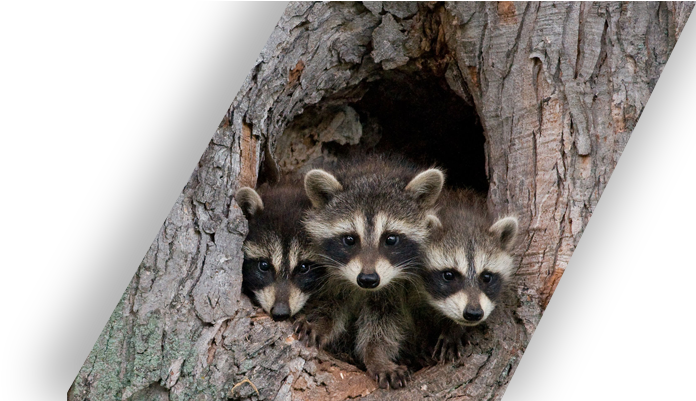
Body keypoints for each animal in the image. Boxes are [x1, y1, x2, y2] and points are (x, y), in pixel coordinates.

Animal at [295, 154, 444, 389]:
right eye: (349, 239)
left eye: (390, 239)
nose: (367, 279)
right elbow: (330, 303)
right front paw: (320, 323)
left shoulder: (395, 289)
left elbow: (384, 323)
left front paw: (377, 356)